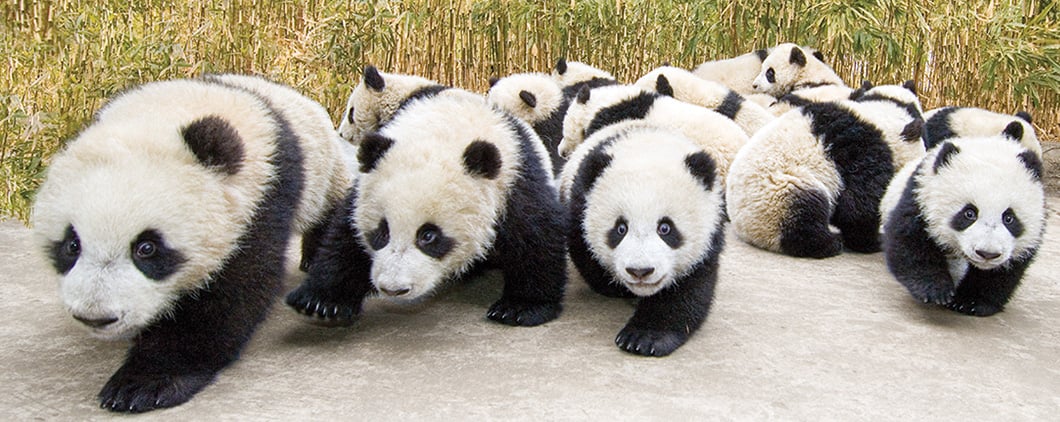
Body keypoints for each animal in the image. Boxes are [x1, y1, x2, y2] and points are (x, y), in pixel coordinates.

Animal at [31, 75, 351, 412]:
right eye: (72, 245)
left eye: (147, 248)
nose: (96, 316)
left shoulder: (262, 199)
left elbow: (227, 299)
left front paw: (143, 383)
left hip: (325, 173)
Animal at [285, 88, 568, 327]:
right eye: (382, 232)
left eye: (428, 236)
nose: (394, 289)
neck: (445, 131)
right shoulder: (367, 182)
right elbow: (345, 236)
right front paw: (322, 303)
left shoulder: (513, 180)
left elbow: (535, 237)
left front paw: (519, 308)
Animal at [562, 122, 726, 357]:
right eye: (620, 228)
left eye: (665, 228)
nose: (640, 271)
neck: (646, 143)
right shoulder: (579, 204)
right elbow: (585, 253)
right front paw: (615, 288)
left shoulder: (710, 230)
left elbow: (689, 287)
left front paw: (644, 338)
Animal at [725, 82, 924, 258]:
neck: (881, 117)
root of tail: (745, 230)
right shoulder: (863, 152)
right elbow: (858, 206)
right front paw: (873, 242)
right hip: (780, 192)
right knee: (805, 212)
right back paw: (829, 243)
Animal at [880, 135, 1045, 316]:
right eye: (969, 213)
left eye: (1009, 218)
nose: (987, 254)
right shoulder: (921, 196)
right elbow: (911, 242)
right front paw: (935, 290)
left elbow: (1002, 274)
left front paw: (971, 302)